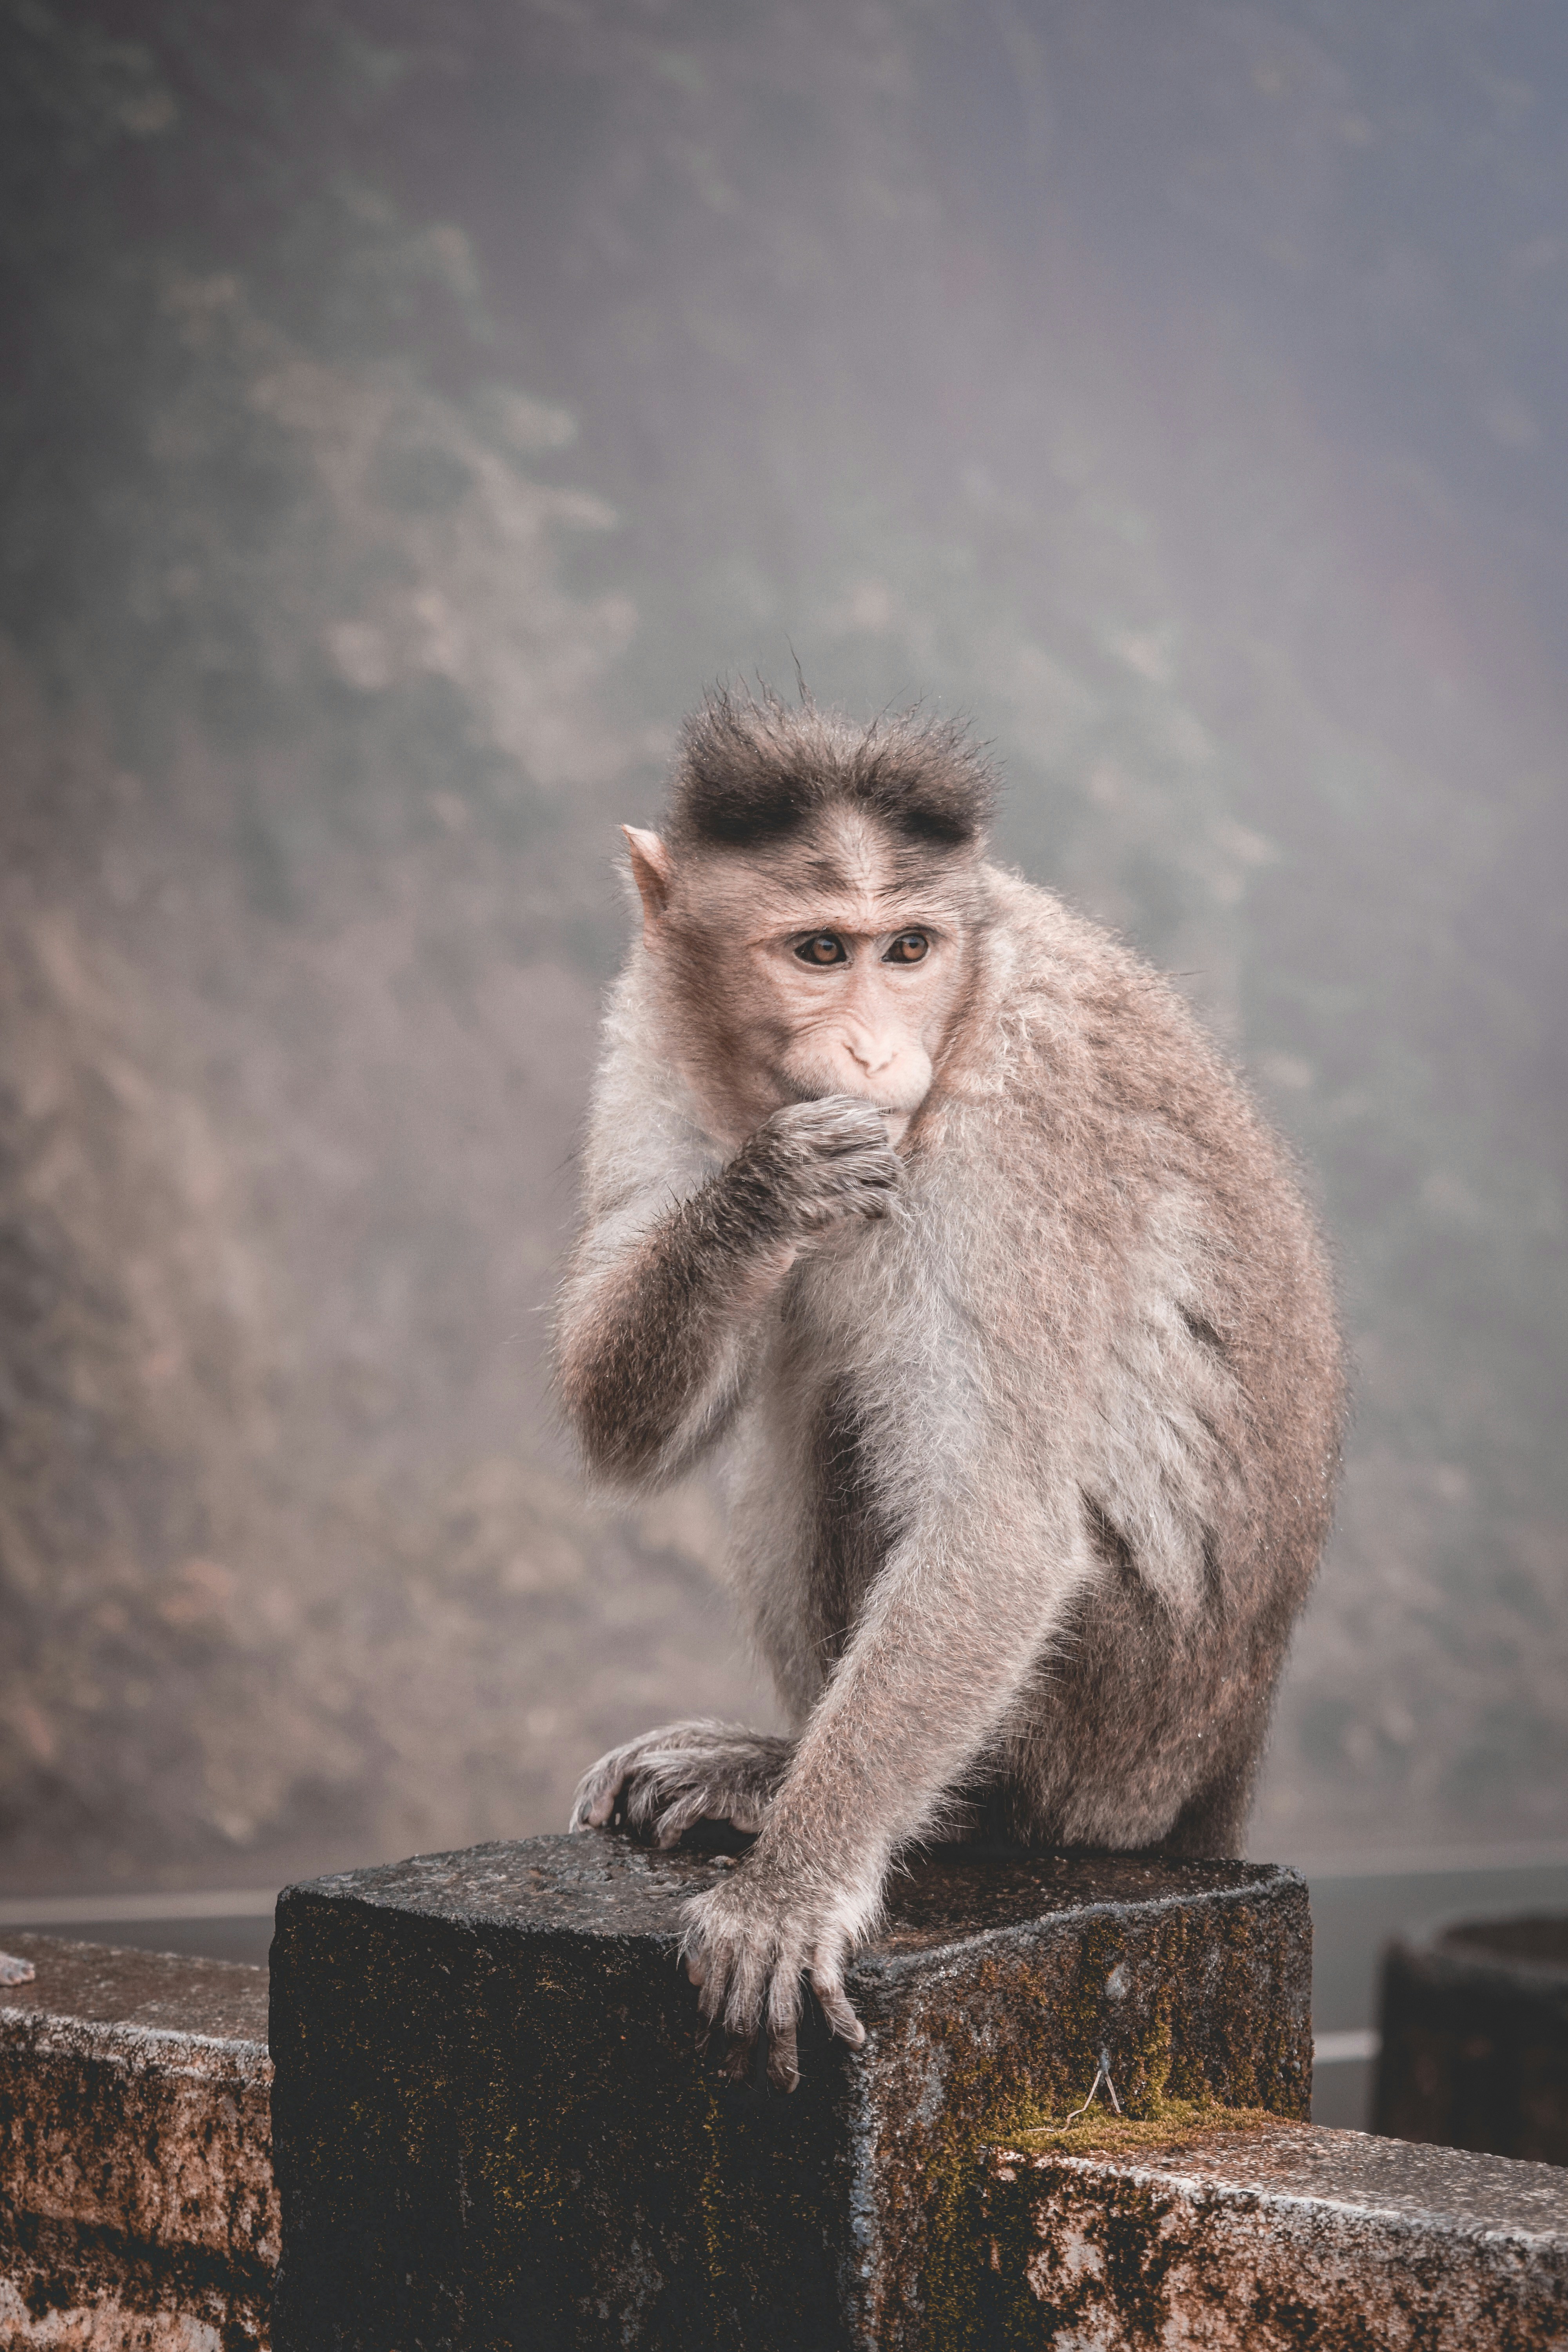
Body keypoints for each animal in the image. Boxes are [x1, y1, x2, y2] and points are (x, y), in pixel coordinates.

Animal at [556, 686, 1345, 2092]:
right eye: (821, 951)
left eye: (908, 949)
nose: (875, 1050)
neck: (969, 996)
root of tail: (1220, 1765)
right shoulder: (650, 1016)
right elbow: (628, 1416)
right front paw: (763, 1195)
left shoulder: (1021, 1128)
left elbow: (1001, 1524)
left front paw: (791, 1895)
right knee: (803, 1397)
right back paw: (772, 1761)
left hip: (1112, 1739)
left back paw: (926, 1809)